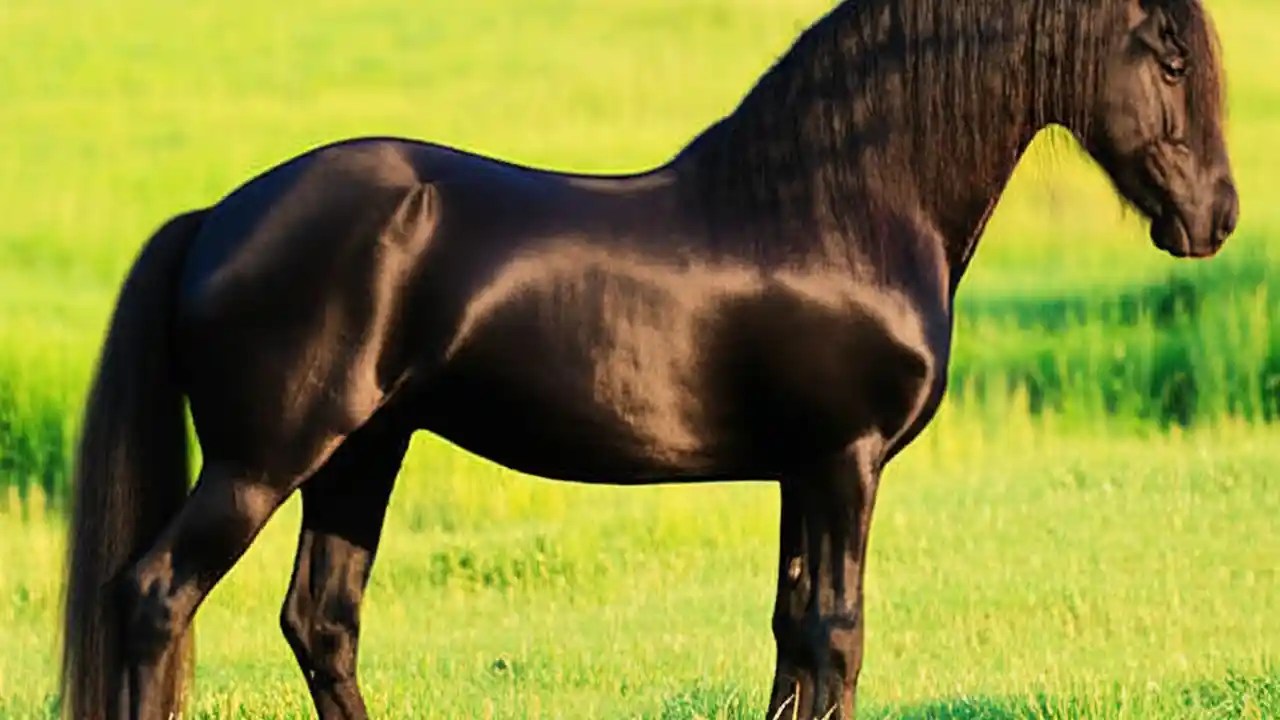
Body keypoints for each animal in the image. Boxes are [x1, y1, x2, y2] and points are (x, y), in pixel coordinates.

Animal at [59, 0, 1237, 718]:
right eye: (1171, 55)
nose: (1215, 218)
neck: (833, 209)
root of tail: (216, 218)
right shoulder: (844, 462)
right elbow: (837, 634)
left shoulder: (803, 472)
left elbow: (793, 633)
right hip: (261, 463)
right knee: (154, 596)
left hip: (359, 456)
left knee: (320, 622)